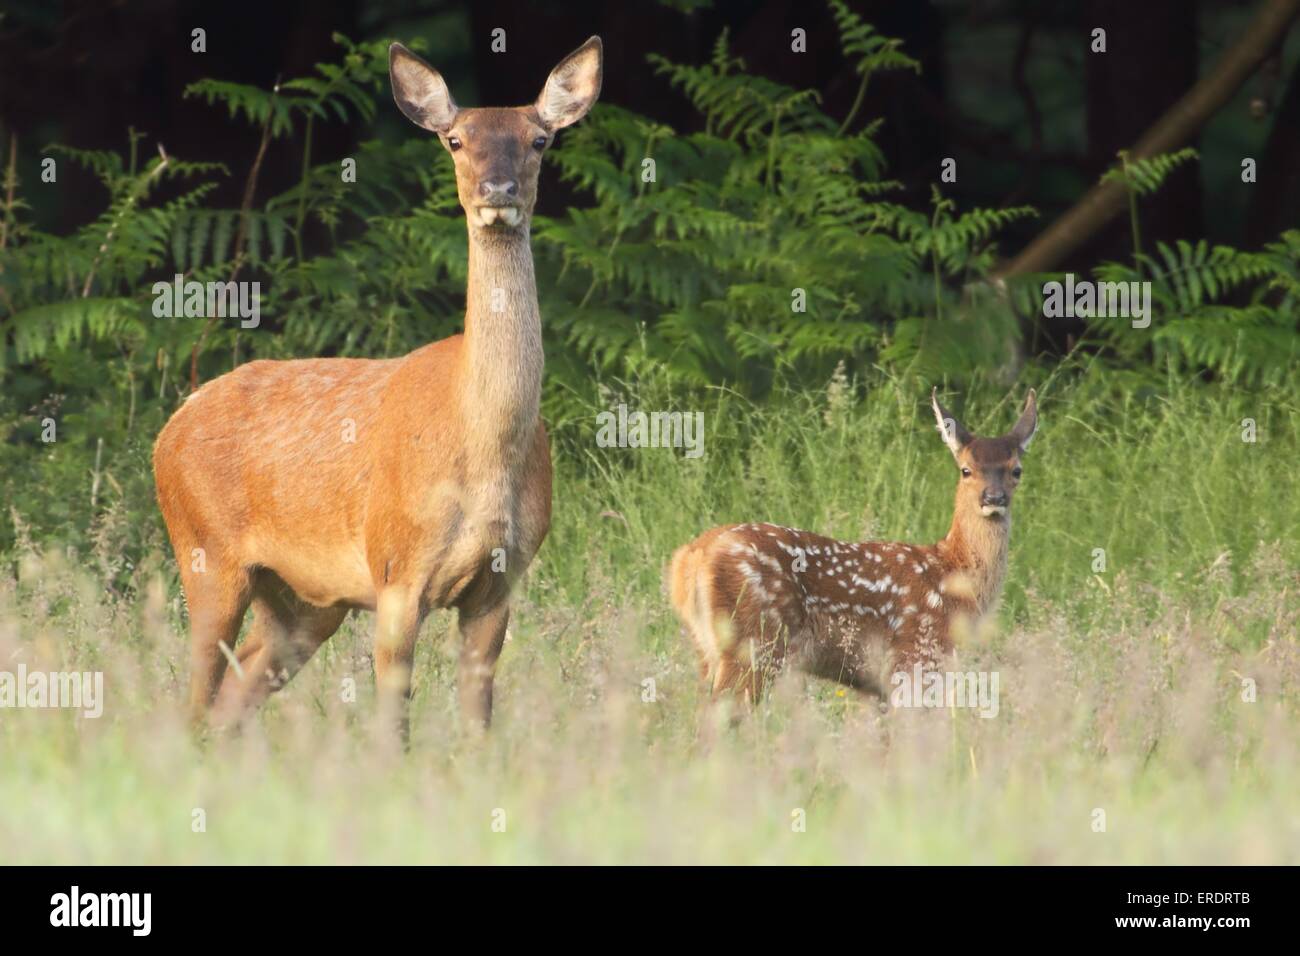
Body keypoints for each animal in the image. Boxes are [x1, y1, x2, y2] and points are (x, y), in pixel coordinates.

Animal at [152, 37, 603, 738]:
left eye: (539, 140)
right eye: (455, 139)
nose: (498, 189)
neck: (485, 446)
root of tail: (166, 433)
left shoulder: (502, 582)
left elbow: (478, 725)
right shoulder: (396, 570)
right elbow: (393, 722)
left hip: (304, 600)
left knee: (235, 695)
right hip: (205, 551)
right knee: (195, 697)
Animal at [667, 388, 1038, 706]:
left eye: (1016, 470)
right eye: (966, 470)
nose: (994, 498)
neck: (953, 574)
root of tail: (690, 557)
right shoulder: (916, 657)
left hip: (708, 647)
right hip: (754, 640)